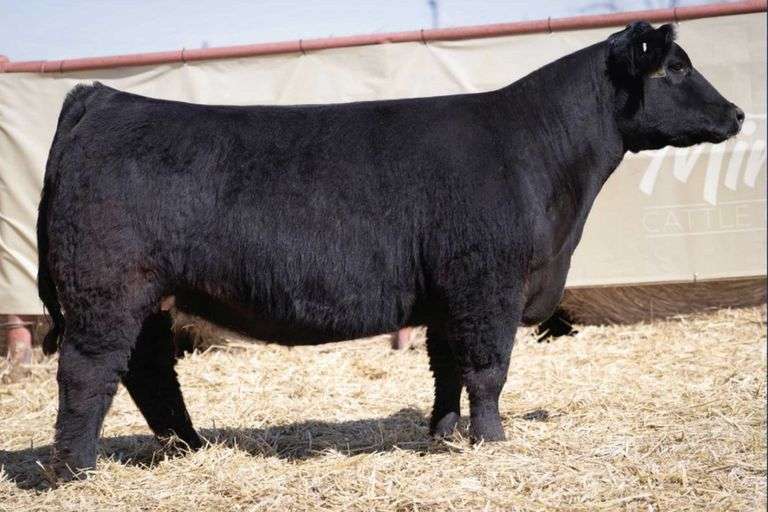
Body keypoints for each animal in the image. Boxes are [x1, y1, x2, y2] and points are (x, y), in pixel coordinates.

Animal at [37, 22, 743, 480]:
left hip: (150, 297)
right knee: (88, 373)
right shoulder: (487, 285)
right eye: (675, 67)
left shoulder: (447, 295)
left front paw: (443, 436)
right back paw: (75, 471)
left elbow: (446, 369)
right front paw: (493, 442)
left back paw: (191, 446)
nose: (737, 113)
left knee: (150, 371)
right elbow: (487, 369)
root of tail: (101, 97)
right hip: (107, 292)